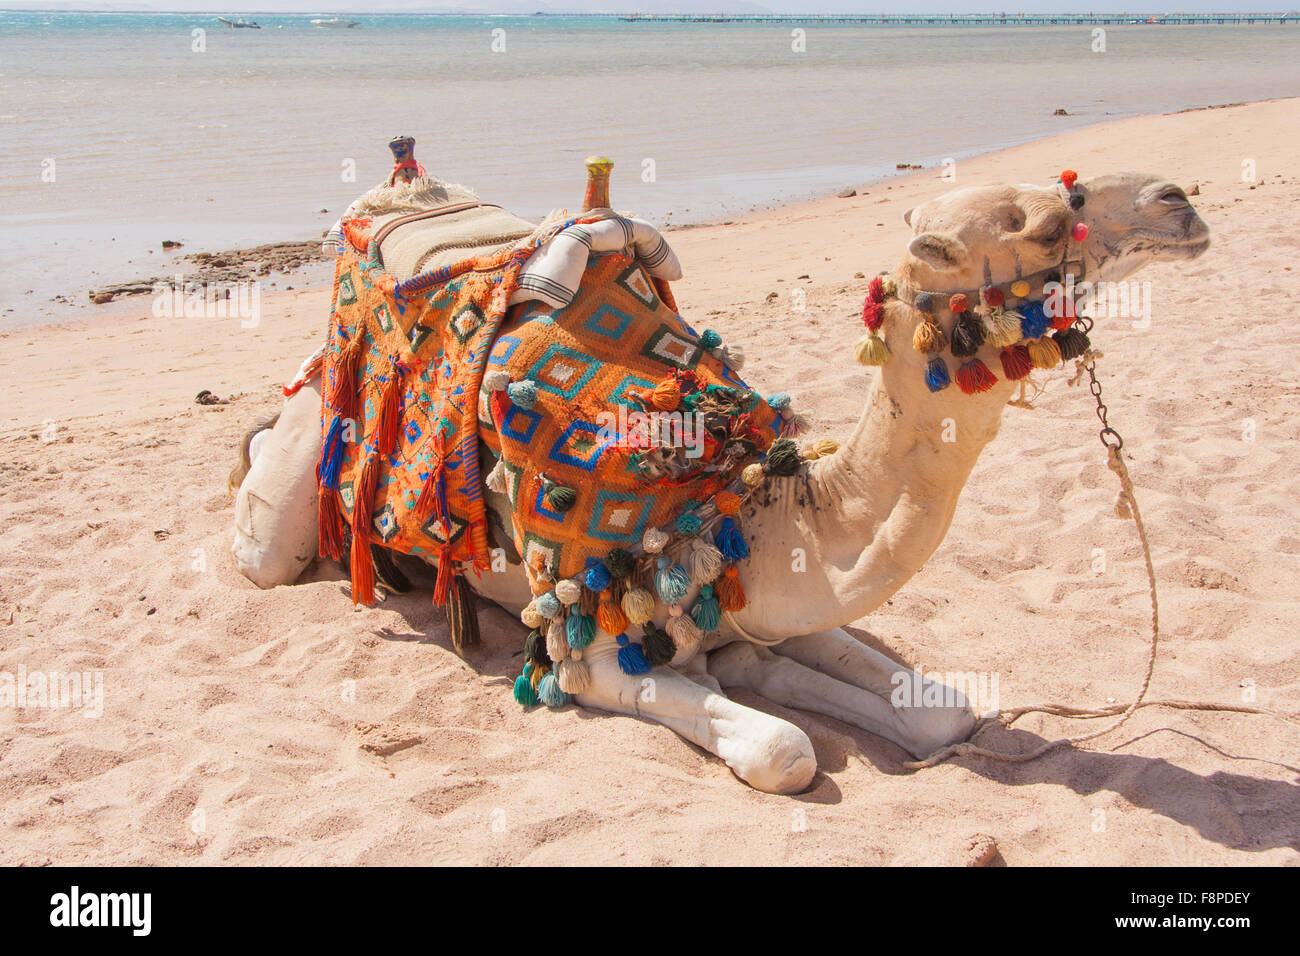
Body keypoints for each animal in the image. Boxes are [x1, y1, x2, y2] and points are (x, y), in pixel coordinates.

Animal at [231, 169, 1209, 793]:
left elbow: (939, 714)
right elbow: (786, 753)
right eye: (1040, 224)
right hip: (305, 463)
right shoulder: (586, 656)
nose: (1179, 200)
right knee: (264, 542)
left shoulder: (768, 603)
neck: (721, 503)